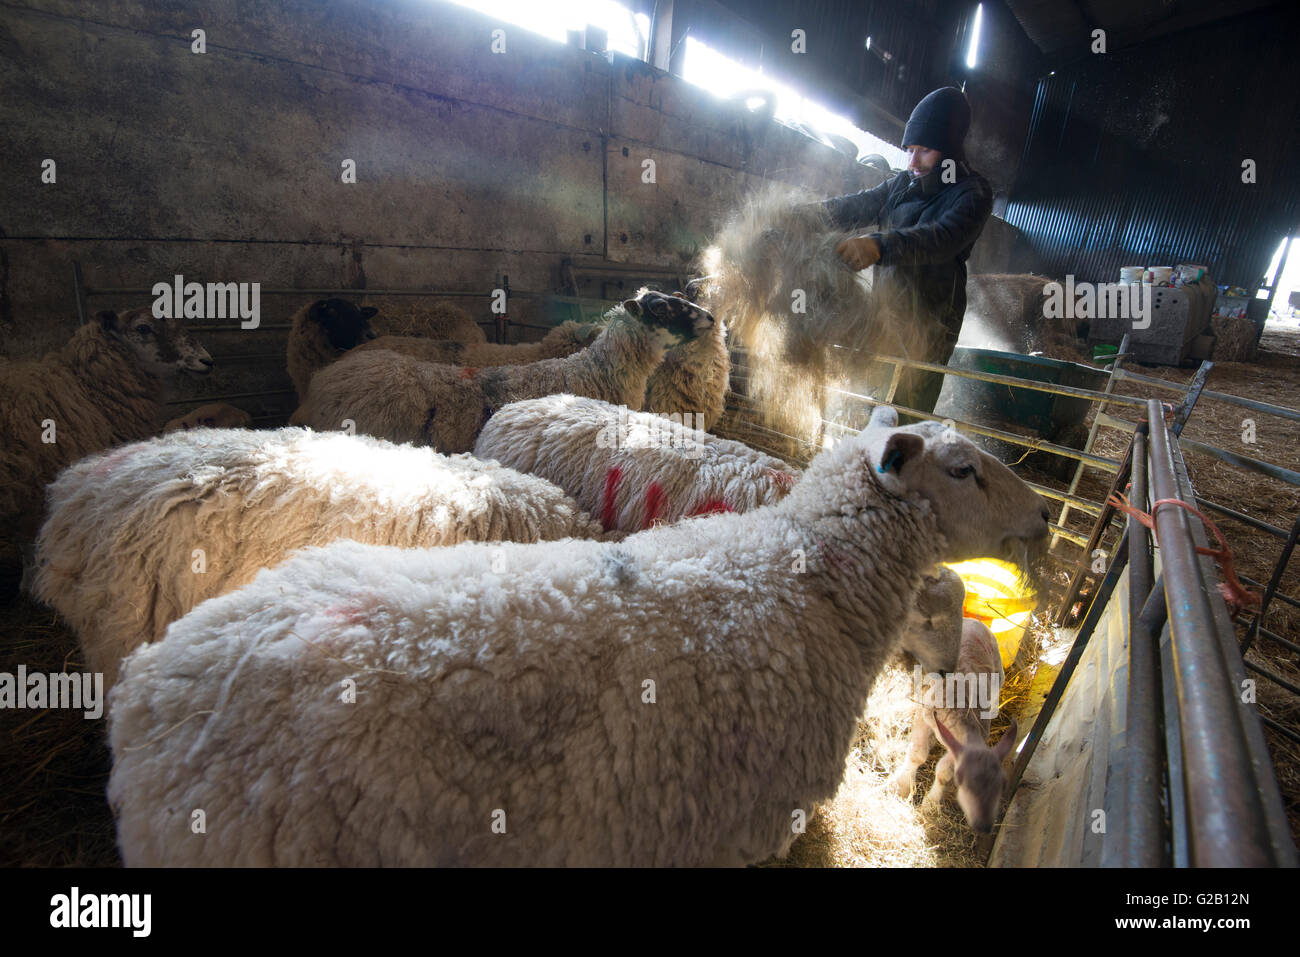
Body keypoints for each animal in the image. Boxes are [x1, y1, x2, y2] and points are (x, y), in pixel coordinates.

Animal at [889, 618, 1018, 833]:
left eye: (1003, 784)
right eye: (961, 781)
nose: (984, 827)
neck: (961, 711)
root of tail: (976, 621)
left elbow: (943, 773)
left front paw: (930, 805)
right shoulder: (925, 717)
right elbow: (917, 754)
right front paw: (901, 787)